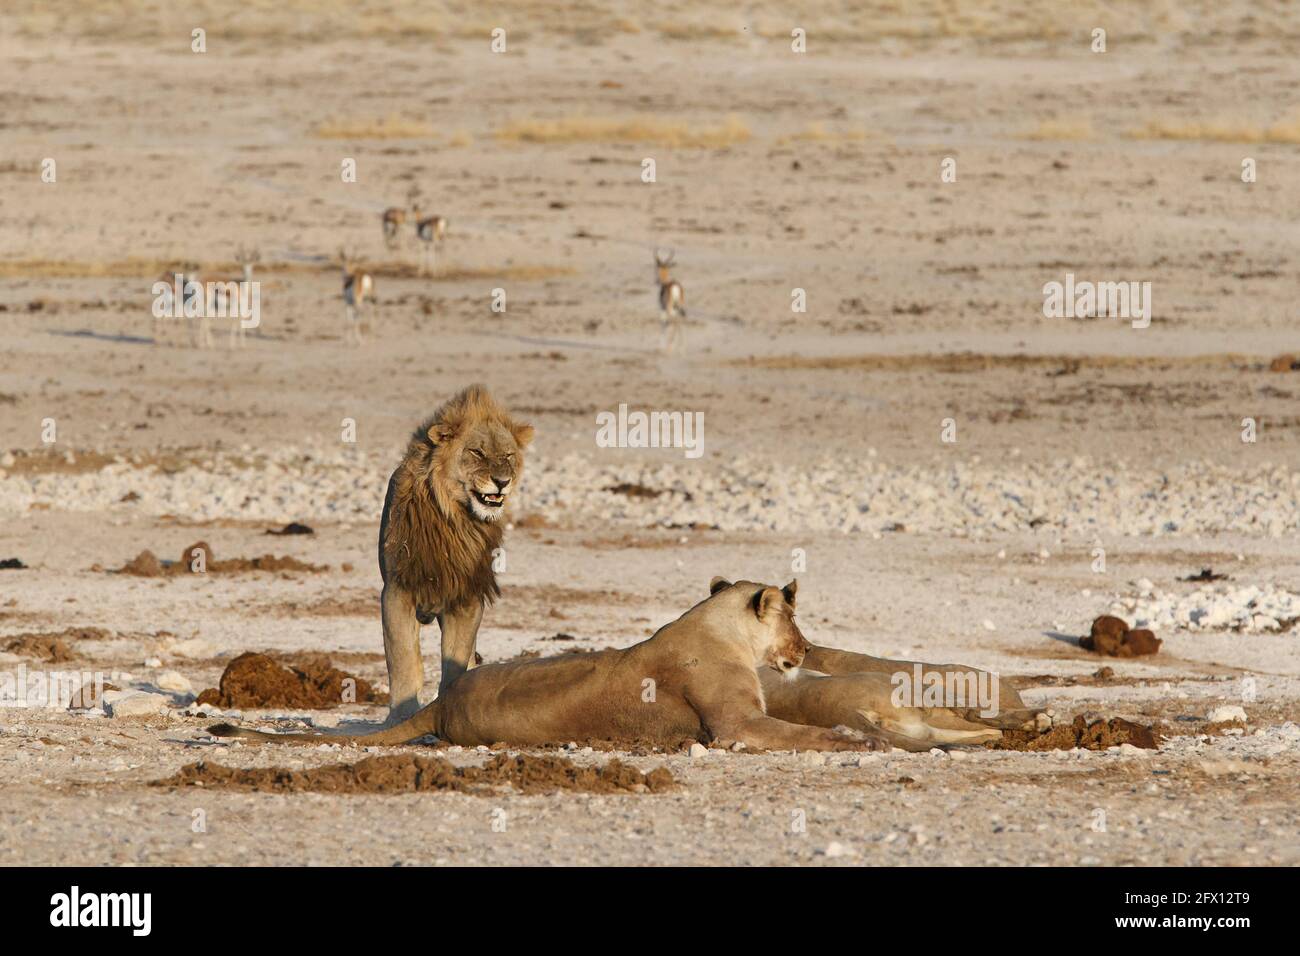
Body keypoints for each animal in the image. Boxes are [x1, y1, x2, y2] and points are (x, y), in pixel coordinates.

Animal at [209, 577, 889, 753]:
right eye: (794, 616)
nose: (805, 649)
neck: (722, 628)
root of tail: (444, 701)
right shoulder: (735, 727)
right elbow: (806, 733)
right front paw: (857, 738)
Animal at [378, 385, 534, 721]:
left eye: (508, 456)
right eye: (477, 453)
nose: (502, 482)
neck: (457, 519)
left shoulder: (467, 597)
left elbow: (456, 662)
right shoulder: (397, 589)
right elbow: (403, 660)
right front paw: (401, 717)